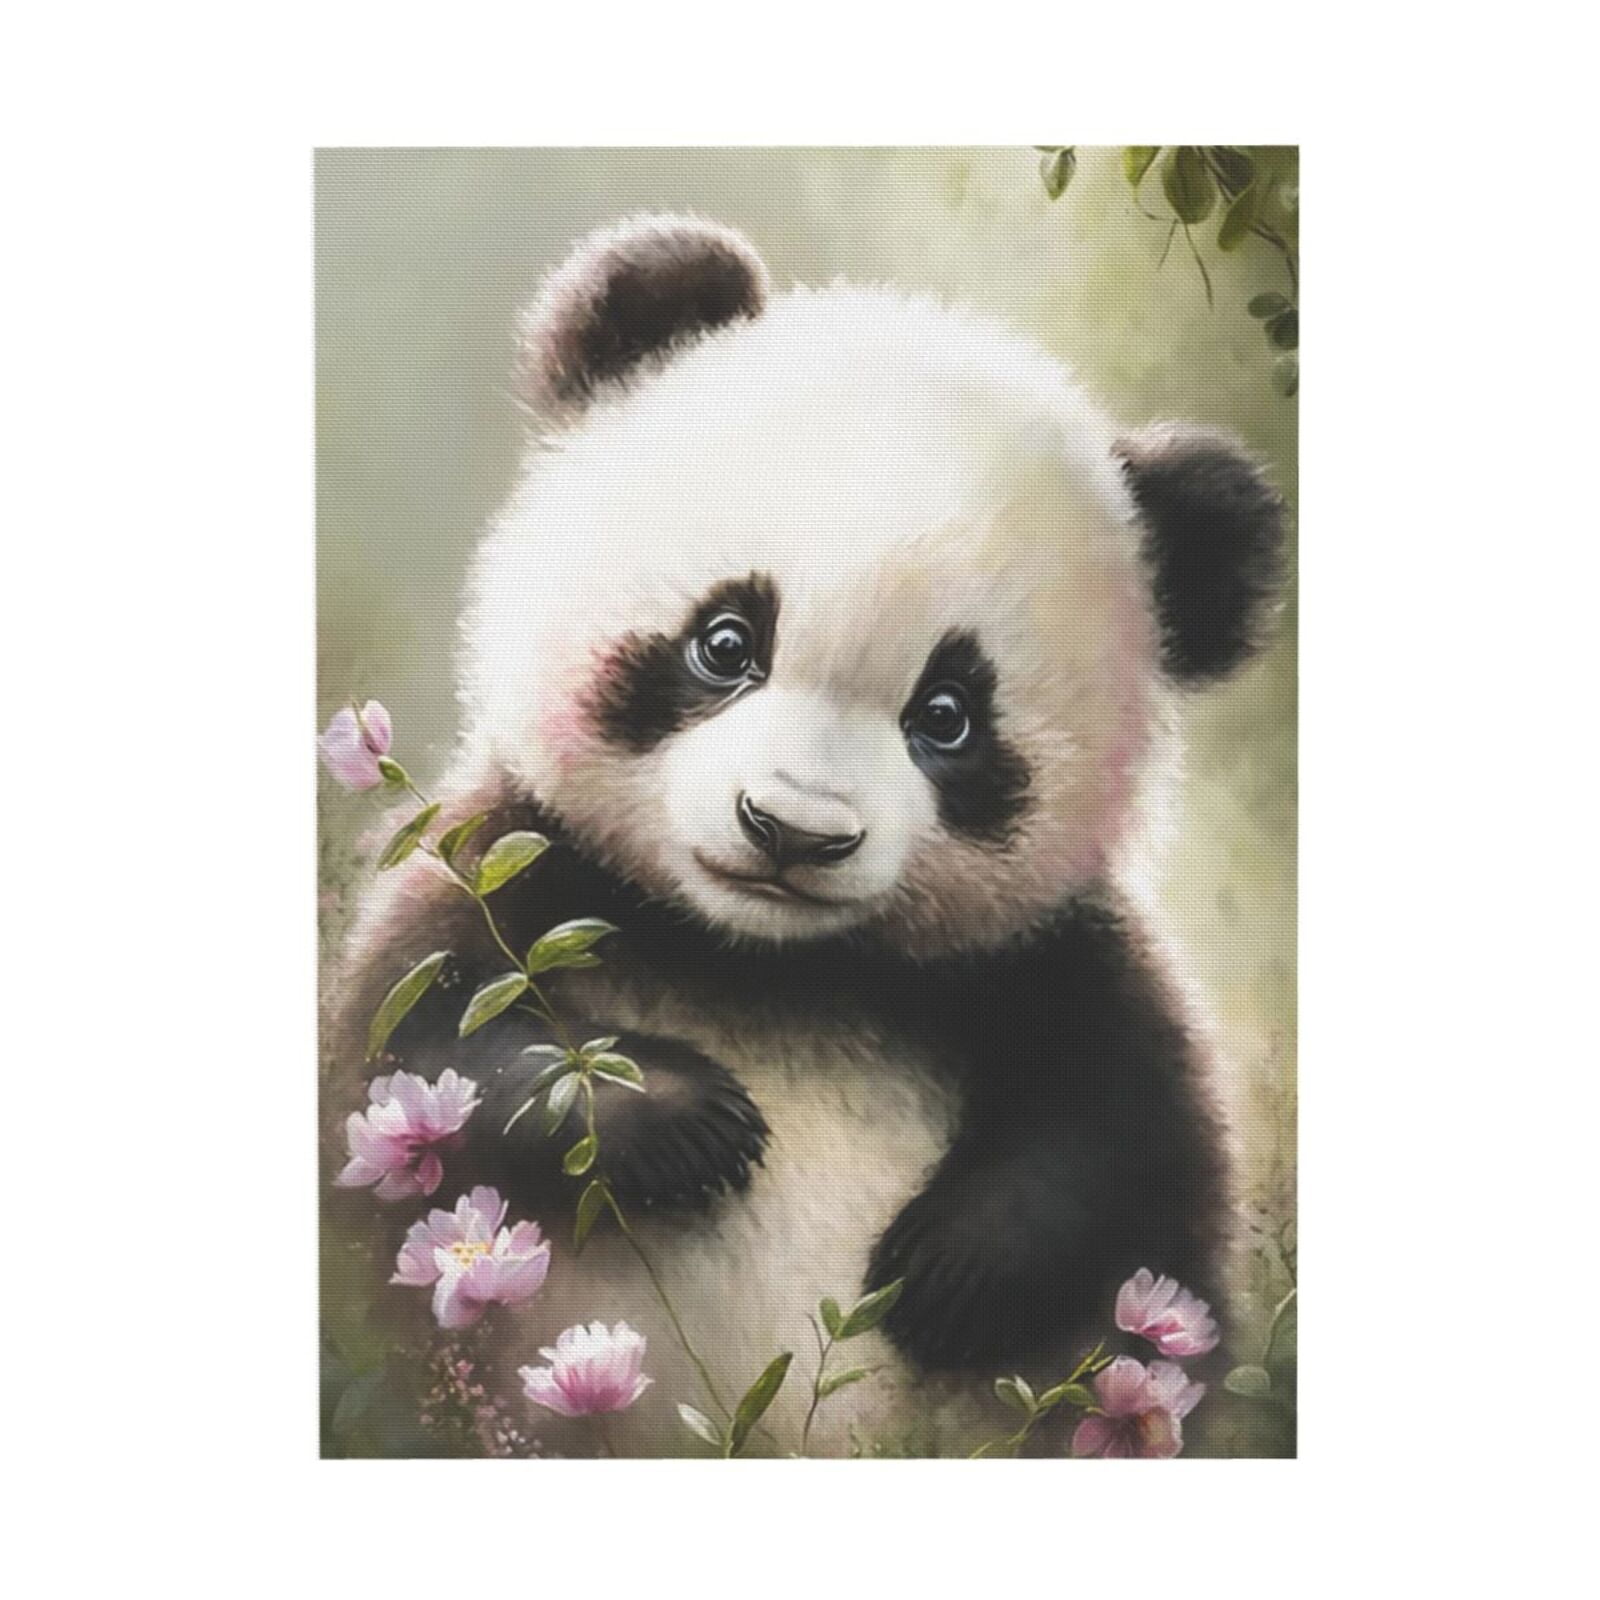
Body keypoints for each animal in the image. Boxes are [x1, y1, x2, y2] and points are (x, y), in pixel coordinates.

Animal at [331, 214, 1286, 1457]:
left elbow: (1129, 1142)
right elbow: (412, 1057)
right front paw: (681, 1119)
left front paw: (953, 1264)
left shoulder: (1045, 960)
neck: (769, 965)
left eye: (948, 716)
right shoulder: (516, 868)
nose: (789, 829)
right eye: (726, 641)